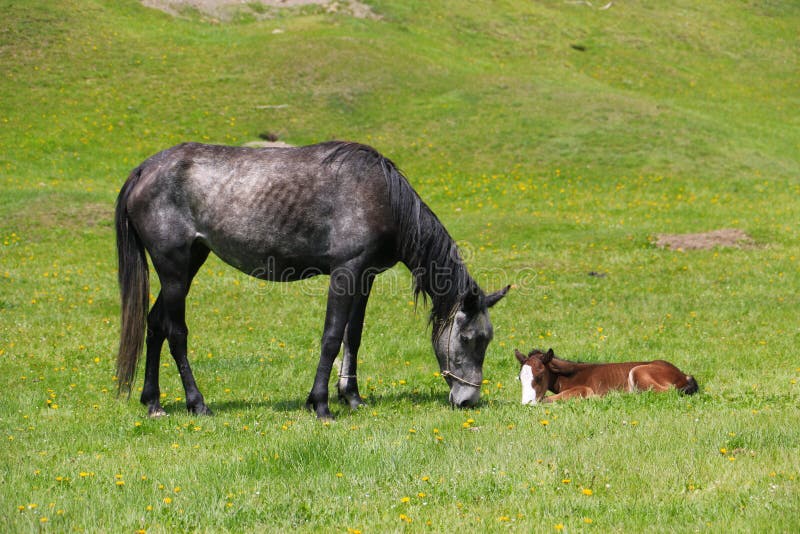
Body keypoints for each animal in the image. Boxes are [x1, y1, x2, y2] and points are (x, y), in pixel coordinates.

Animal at [115, 141, 509, 419]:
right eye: (469, 339)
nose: (468, 400)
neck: (380, 195)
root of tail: (144, 169)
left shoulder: (365, 277)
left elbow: (353, 336)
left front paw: (352, 397)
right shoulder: (345, 273)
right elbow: (331, 337)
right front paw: (320, 404)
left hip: (188, 265)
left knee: (155, 325)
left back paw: (153, 403)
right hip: (174, 270)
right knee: (176, 333)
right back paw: (197, 404)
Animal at [514, 348, 698, 404]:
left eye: (539, 377)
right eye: (520, 379)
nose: (525, 403)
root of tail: (683, 375)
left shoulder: (583, 389)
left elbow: (544, 400)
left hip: (638, 371)